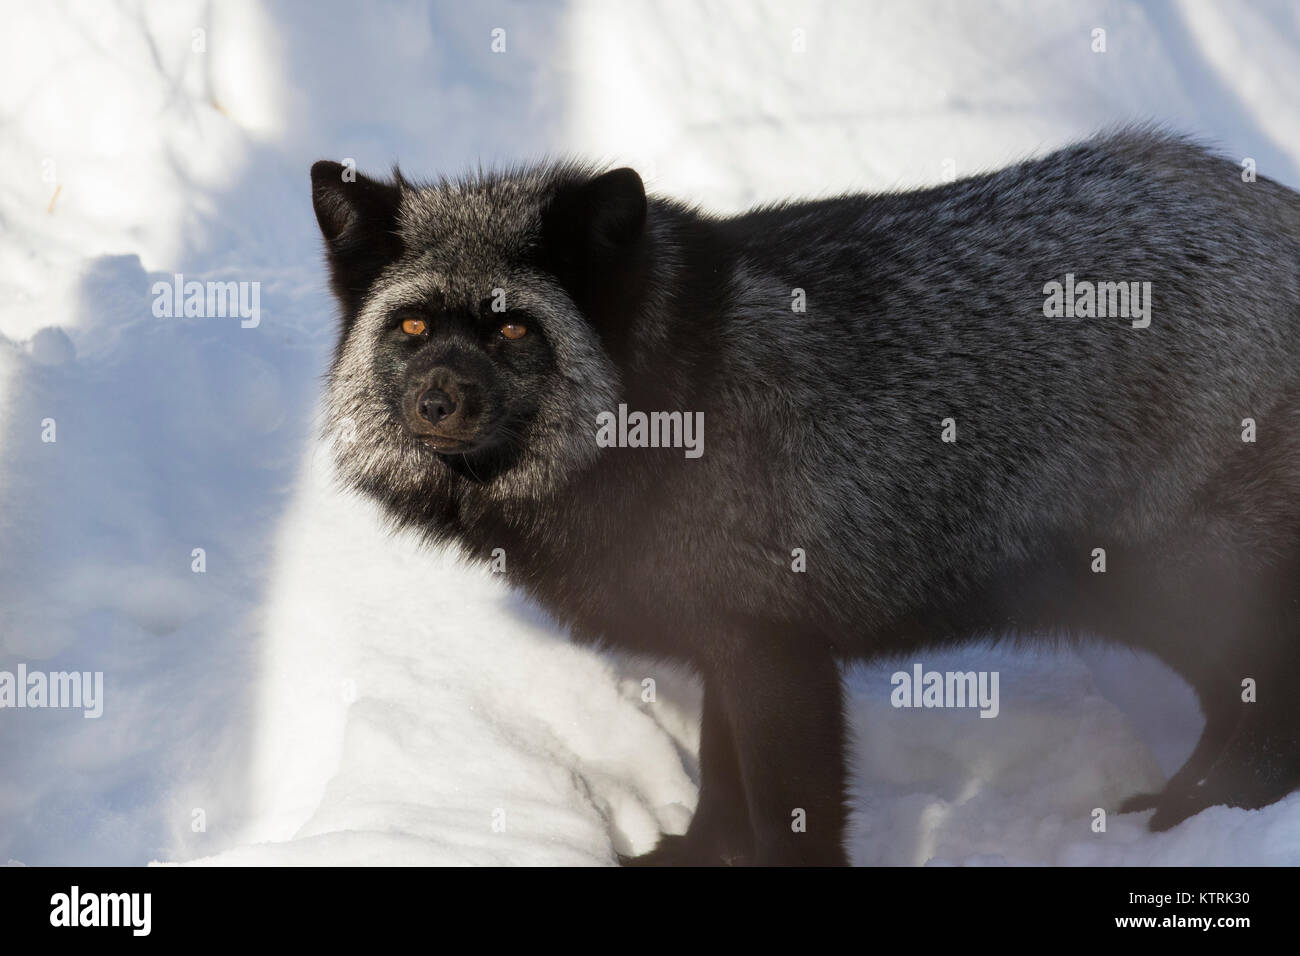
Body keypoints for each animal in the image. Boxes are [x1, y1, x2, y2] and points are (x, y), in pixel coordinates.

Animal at [311, 129, 1300, 865]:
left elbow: (788, 815)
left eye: (514, 328)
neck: (664, 405)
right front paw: (693, 857)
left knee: (1267, 717)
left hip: (1178, 578)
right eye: (412, 326)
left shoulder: (778, 652)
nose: (438, 401)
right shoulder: (728, 638)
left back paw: (1200, 823)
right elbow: (721, 786)